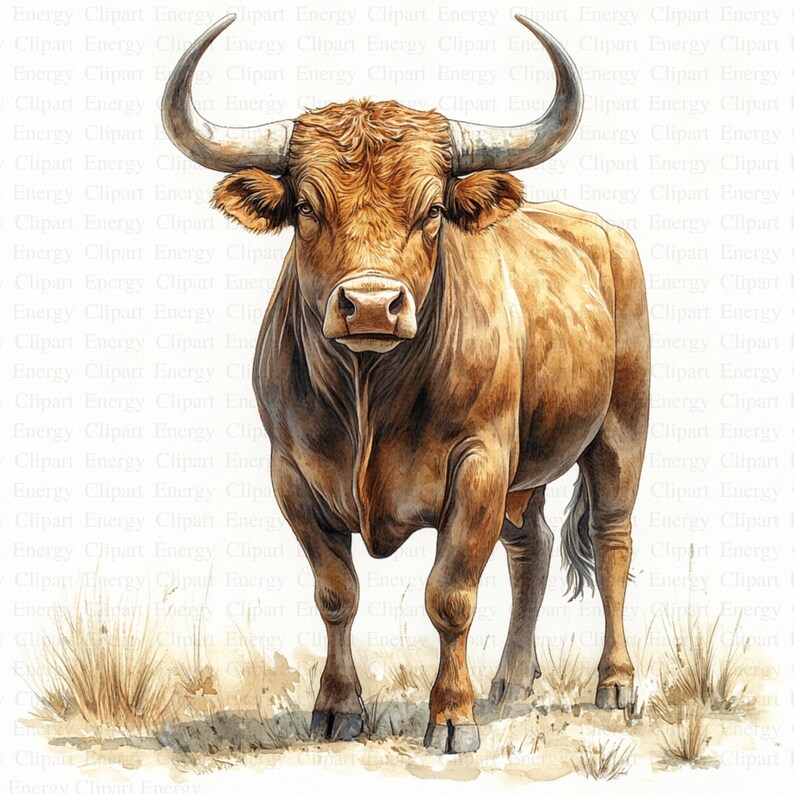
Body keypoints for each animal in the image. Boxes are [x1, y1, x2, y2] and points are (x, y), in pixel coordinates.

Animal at [162, 14, 650, 754]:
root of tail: (600, 233)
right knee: (530, 552)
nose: (370, 305)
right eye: (308, 207)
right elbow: (336, 594)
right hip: (527, 472)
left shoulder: (480, 464)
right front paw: (337, 710)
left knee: (612, 542)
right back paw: (510, 682)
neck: (370, 396)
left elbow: (449, 595)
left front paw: (451, 718)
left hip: (620, 431)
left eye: (430, 211)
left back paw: (615, 684)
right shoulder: (291, 475)